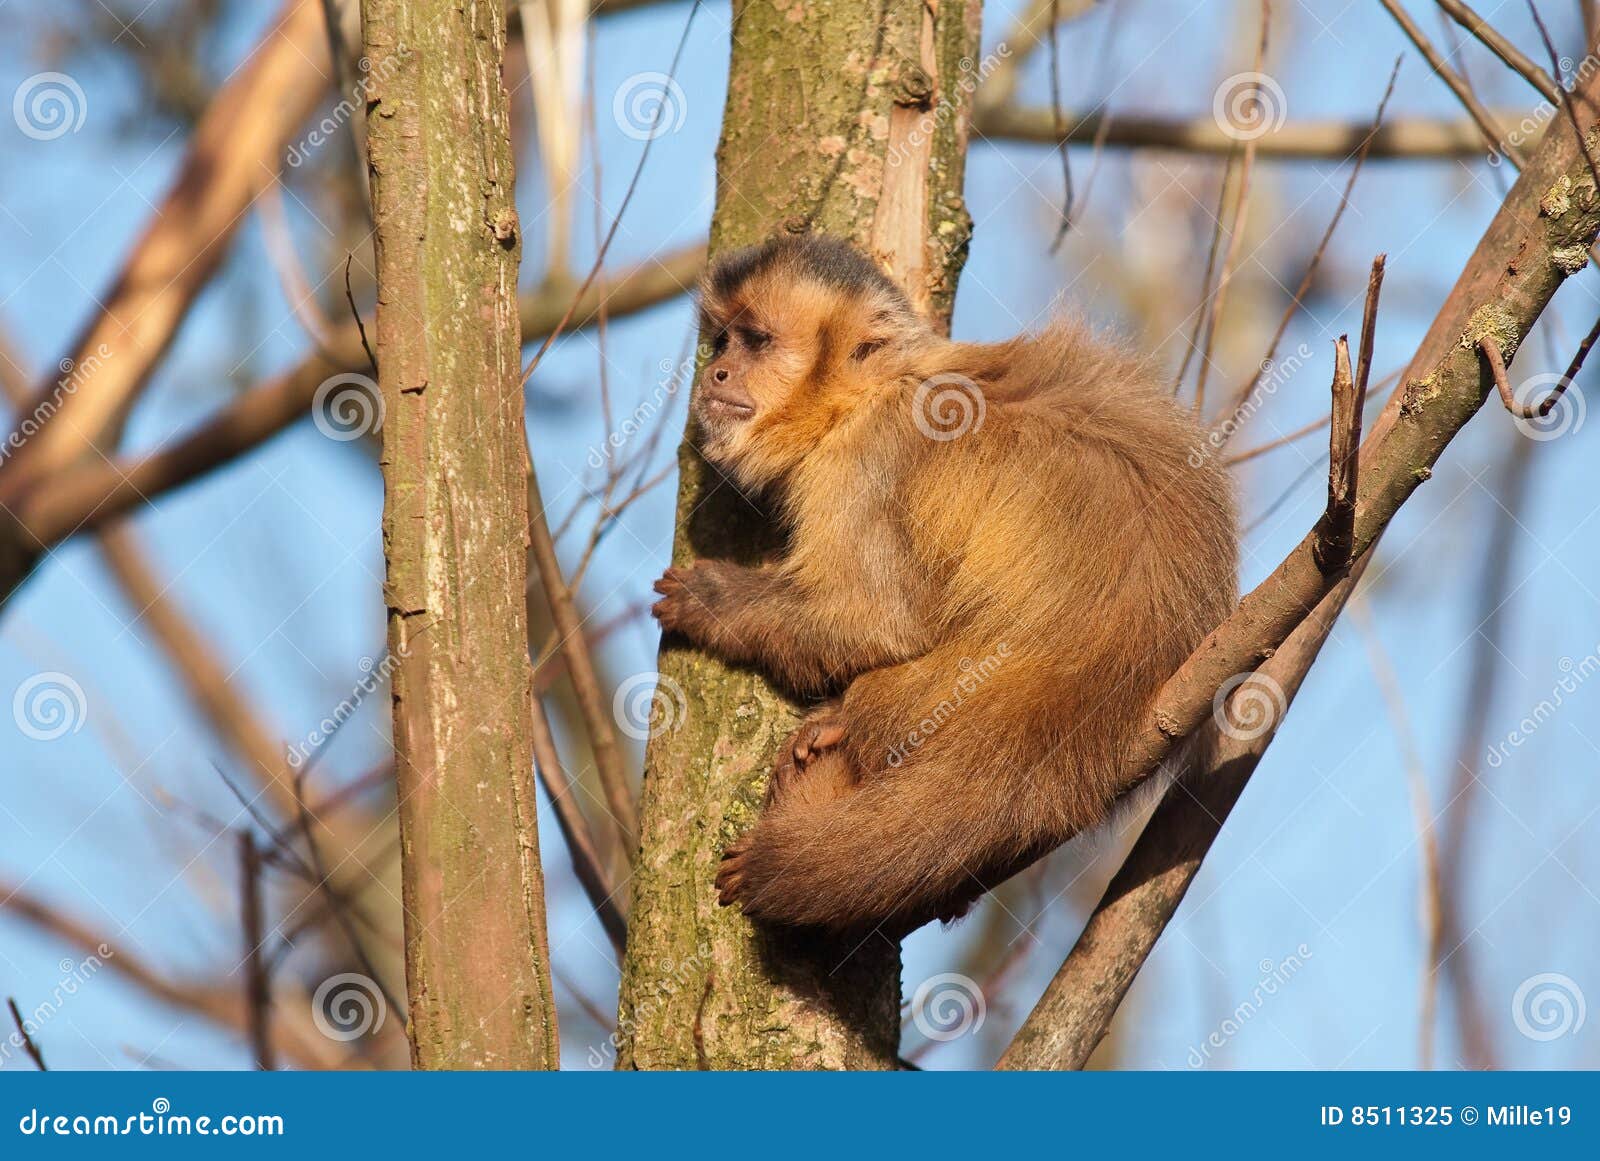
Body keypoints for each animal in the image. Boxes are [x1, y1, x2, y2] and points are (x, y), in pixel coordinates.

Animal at [651, 233, 1238, 938]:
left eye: (756, 341)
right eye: (723, 342)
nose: (715, 374)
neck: (869, 395)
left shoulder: (868, 459)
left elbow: (884, 623)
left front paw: (714, 602)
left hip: (946, 693)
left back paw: (846, 723)